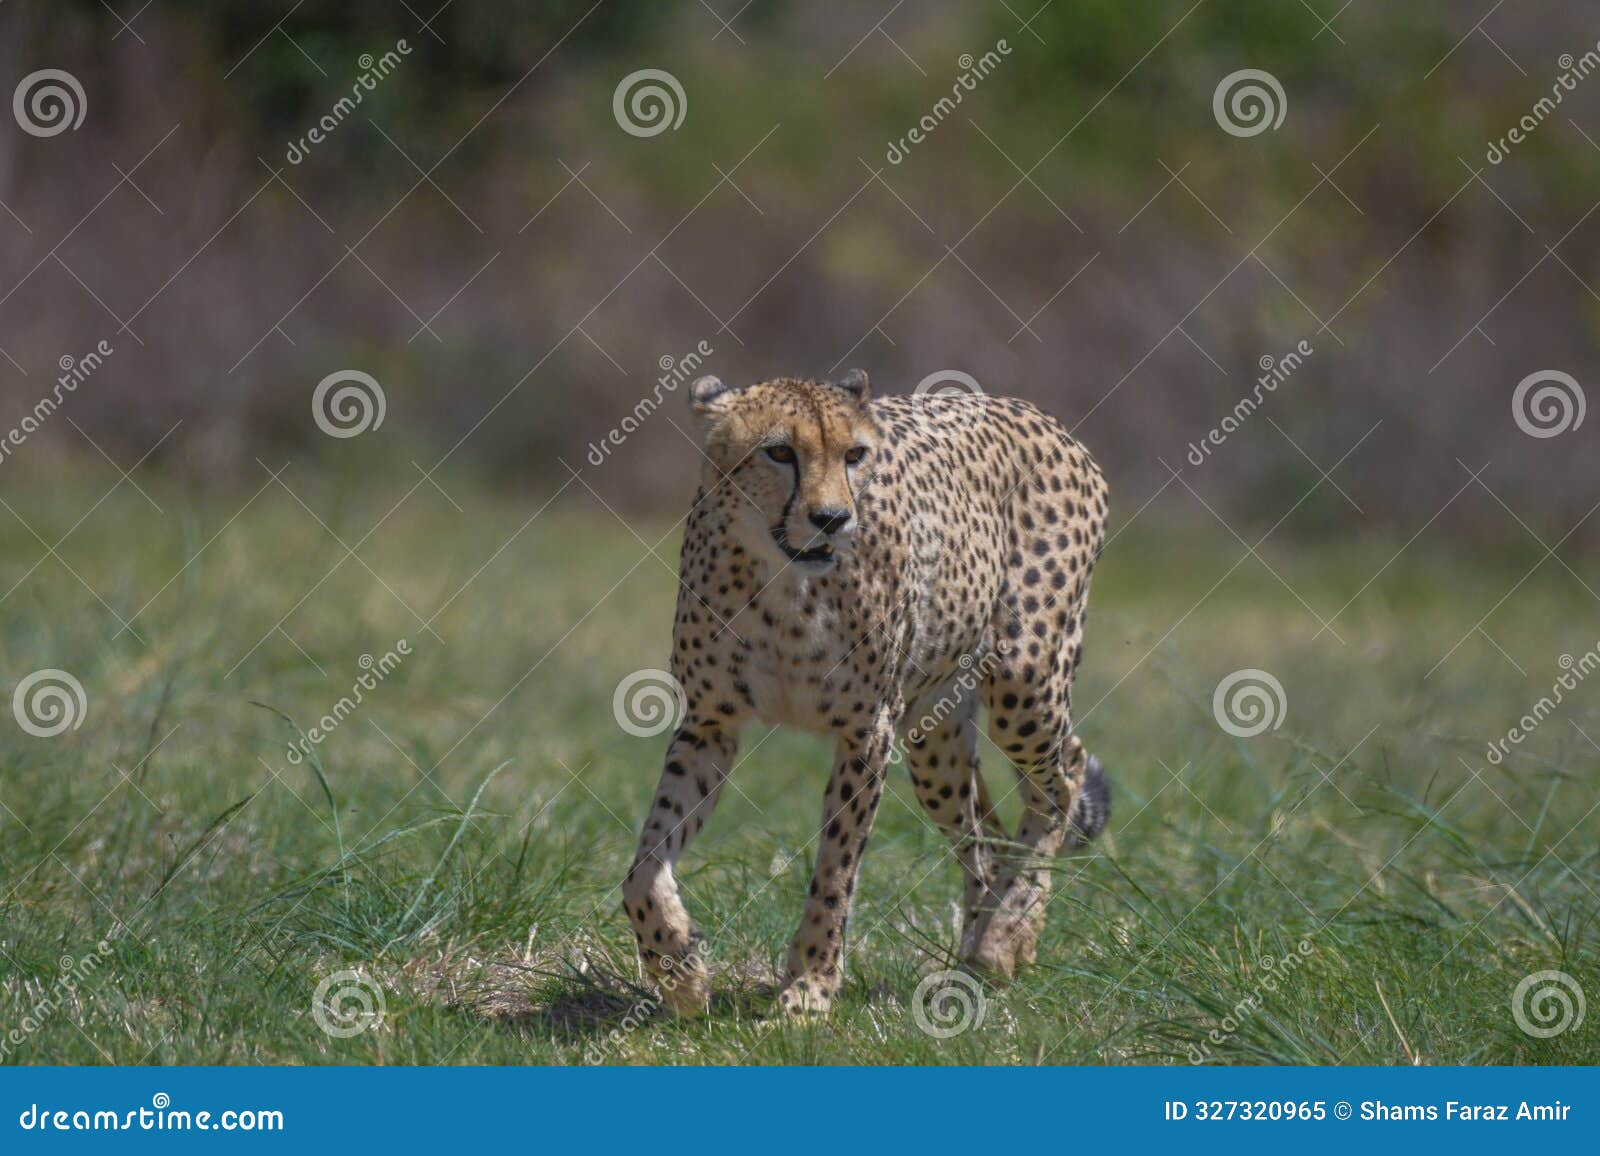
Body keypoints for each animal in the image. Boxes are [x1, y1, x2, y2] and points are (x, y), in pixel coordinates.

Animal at [621, 369, 1110, 1017]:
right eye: (780, 452)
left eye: (854, 455)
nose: (832, 518)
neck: (784, 584)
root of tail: (1037, 415)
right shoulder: (710, 726)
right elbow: (643, 867)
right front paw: (679, 970)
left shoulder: (866, 731)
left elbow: (836, 870)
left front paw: (807, 992)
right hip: (933, 736)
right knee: (986, 833)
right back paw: (982, 949)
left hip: (1022, 679)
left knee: (1063, 774)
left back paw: (1008, 935)